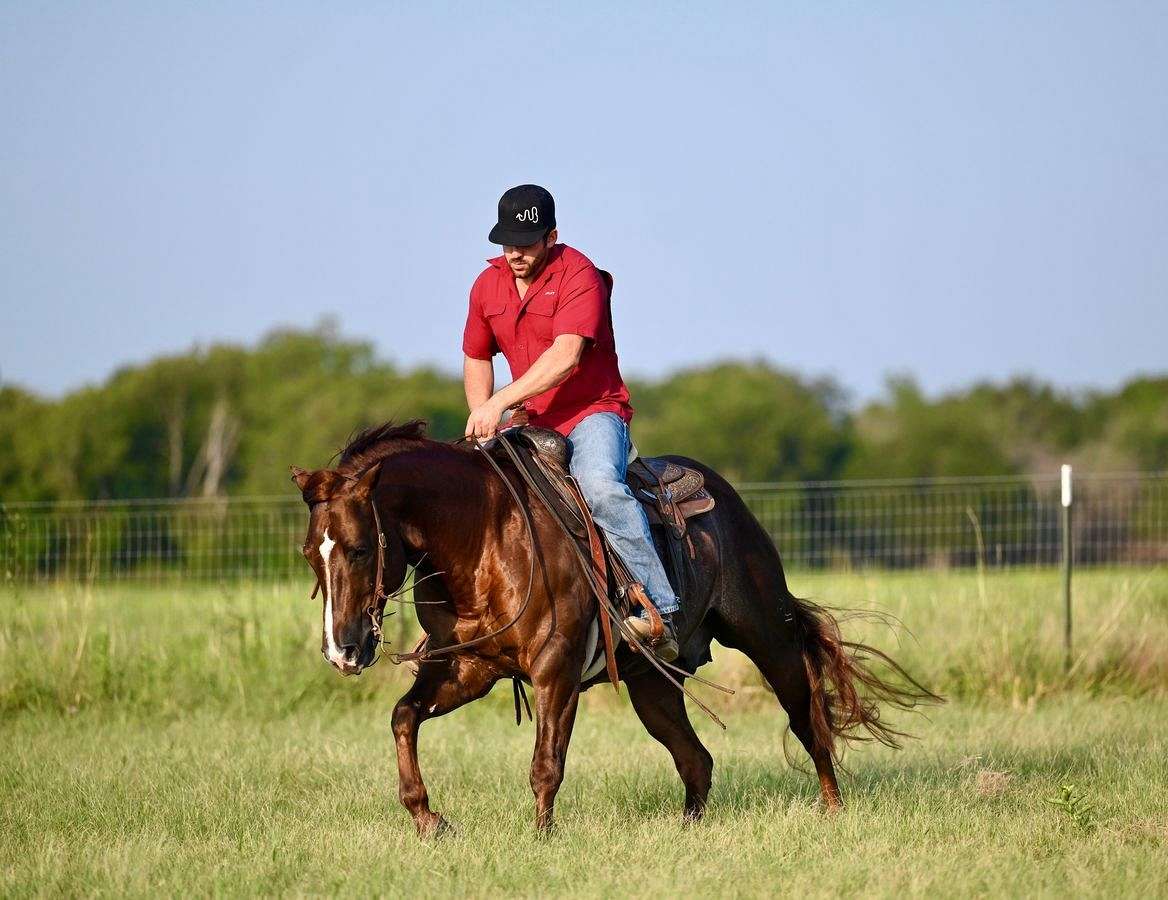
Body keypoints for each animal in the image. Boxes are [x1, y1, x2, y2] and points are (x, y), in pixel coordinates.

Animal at [291, 420, 936, 835]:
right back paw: (687, 833)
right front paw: (428, 818)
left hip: (767, 635)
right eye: (308, 555)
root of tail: (725, 495)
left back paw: (832, 811)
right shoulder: (469, 667)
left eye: (357, 547)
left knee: (808, 719)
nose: (342, 650)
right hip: (654, 685)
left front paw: (541, 839)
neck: (486, 533)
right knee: (696, 759)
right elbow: (404, 717)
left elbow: (546, 763)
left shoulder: (555, 668)